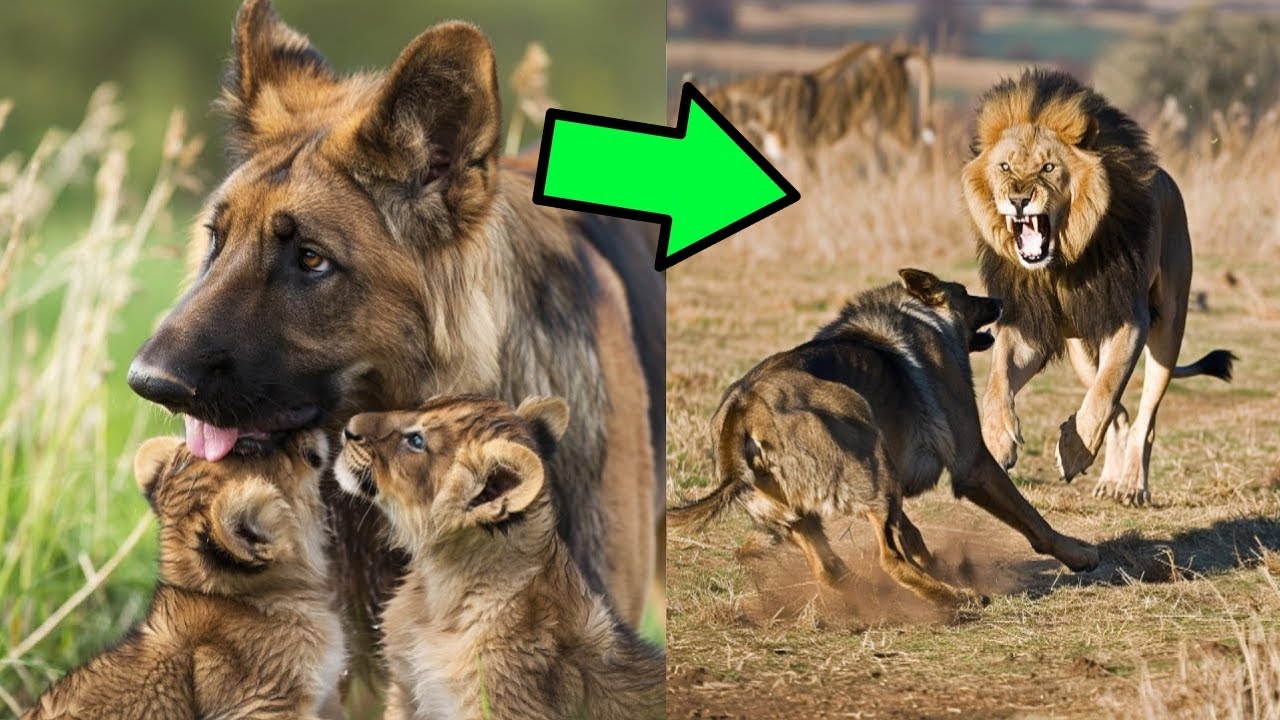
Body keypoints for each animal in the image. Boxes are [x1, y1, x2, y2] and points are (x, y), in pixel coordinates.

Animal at [669, 270, 1099, 609]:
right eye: (964, 292)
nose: (999, 301)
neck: (922, 318)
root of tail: (744, 411)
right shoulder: (974, 463)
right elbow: (1032, 519)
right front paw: (1079, 555)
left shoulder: (895, 483)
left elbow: (913, 535)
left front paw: (937, 567)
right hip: (866, 445)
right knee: (888, 560)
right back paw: (958, 598)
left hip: (817, 510)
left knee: (832, 570)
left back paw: (882, 596)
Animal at [961, 69, 1235, 506]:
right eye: (1004, 166)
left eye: (1048, 167)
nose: (1018, 199)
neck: (1058, 265)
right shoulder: (1026, 326)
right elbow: (998, 380)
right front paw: (998, 438)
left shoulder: (1130, 321)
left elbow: (1106, 393)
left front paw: (1074, 452)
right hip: (1079, 350)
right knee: (1119, 414)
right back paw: (1109, 479)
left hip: (1168, 329)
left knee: (1142, 417)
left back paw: (1131, 484)